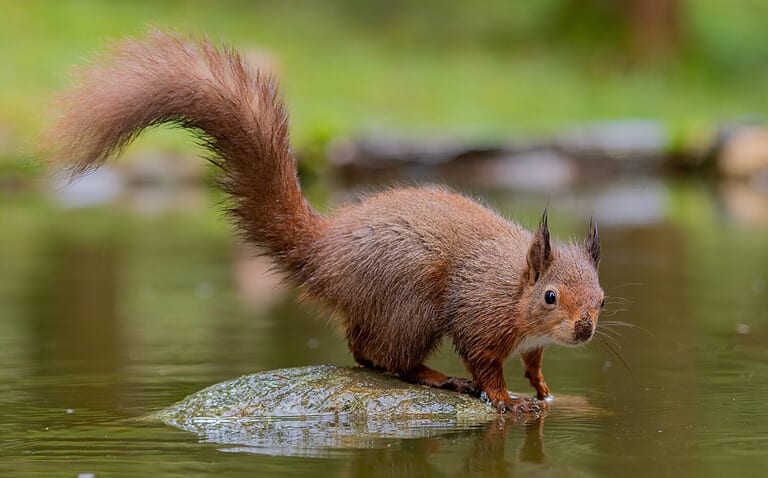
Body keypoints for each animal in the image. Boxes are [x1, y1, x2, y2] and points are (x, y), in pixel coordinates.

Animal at [44, 31, 604, 415]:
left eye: (601, 298)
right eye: (550, 296)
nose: (585, 330)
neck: (514, 288)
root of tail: (324, 250)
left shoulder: (532, 342)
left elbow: (533, 362)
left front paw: (542, 388)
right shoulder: (479, 314)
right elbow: (484, 363)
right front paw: (505, 399)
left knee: (363, 350)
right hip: (411, 306)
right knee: (384, 357)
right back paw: (436, 375)